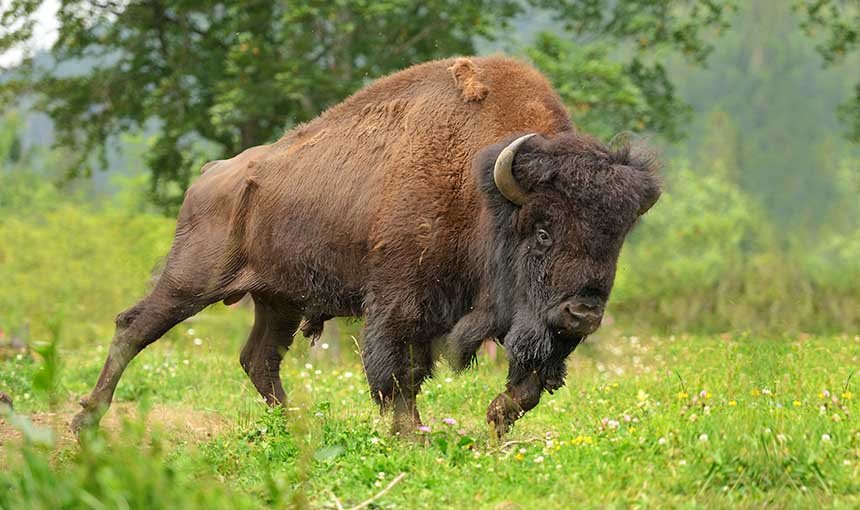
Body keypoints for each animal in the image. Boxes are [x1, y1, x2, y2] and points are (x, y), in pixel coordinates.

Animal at [72, 56, 661, 437]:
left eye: (615, 239)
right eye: (542, 231)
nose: (583, 313)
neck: (483, 189)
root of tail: (212, 173)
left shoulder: (526, 324)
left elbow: (527, 383)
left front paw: (493, 421)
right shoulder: (400, 301)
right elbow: (399, 373)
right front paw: (413, 435)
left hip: (278, 299)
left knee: (258, 359)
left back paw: (299, 427)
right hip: (192, 279)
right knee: (135, 327)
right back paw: (85, 418)